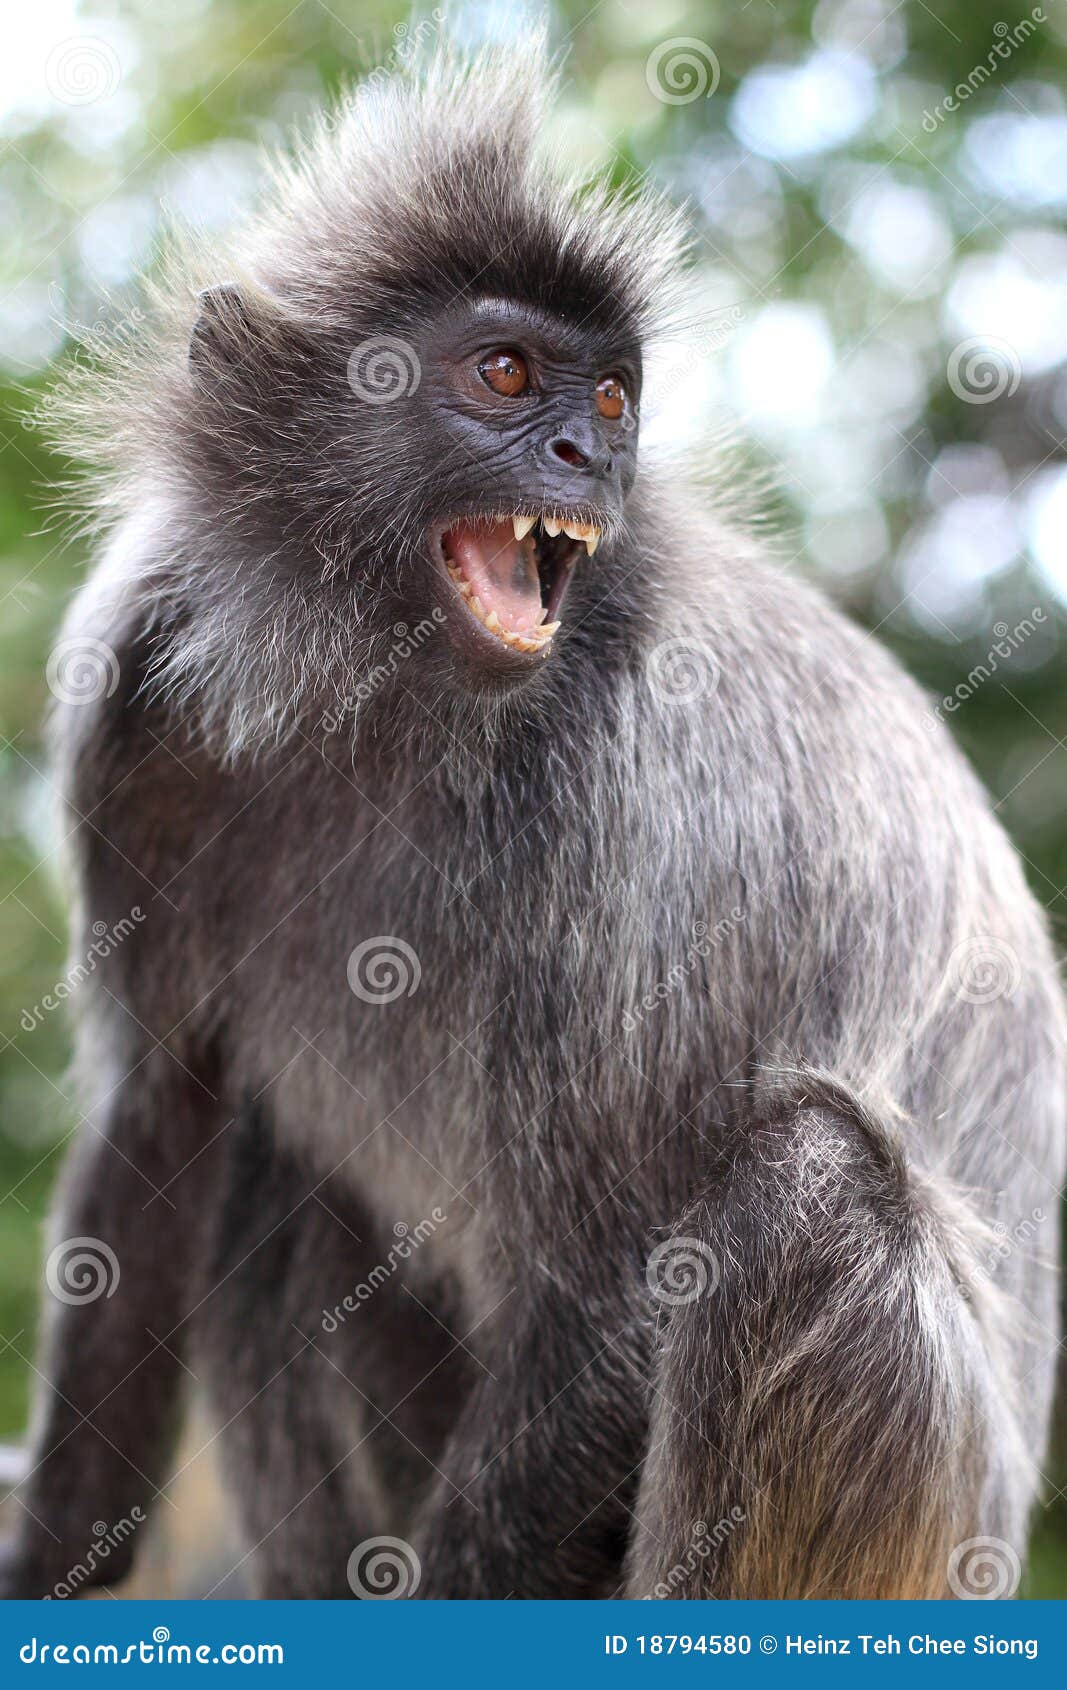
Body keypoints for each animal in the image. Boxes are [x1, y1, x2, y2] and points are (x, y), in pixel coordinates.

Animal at [1, 35, 1064, 1602]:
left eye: (613, 400)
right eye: (502, 372)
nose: (587, 456)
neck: (386, 692)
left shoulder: (646, 773)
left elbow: (622, 1274)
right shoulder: (144, 709)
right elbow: (162, 1116)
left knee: (809, 1184)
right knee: (267, 1163)